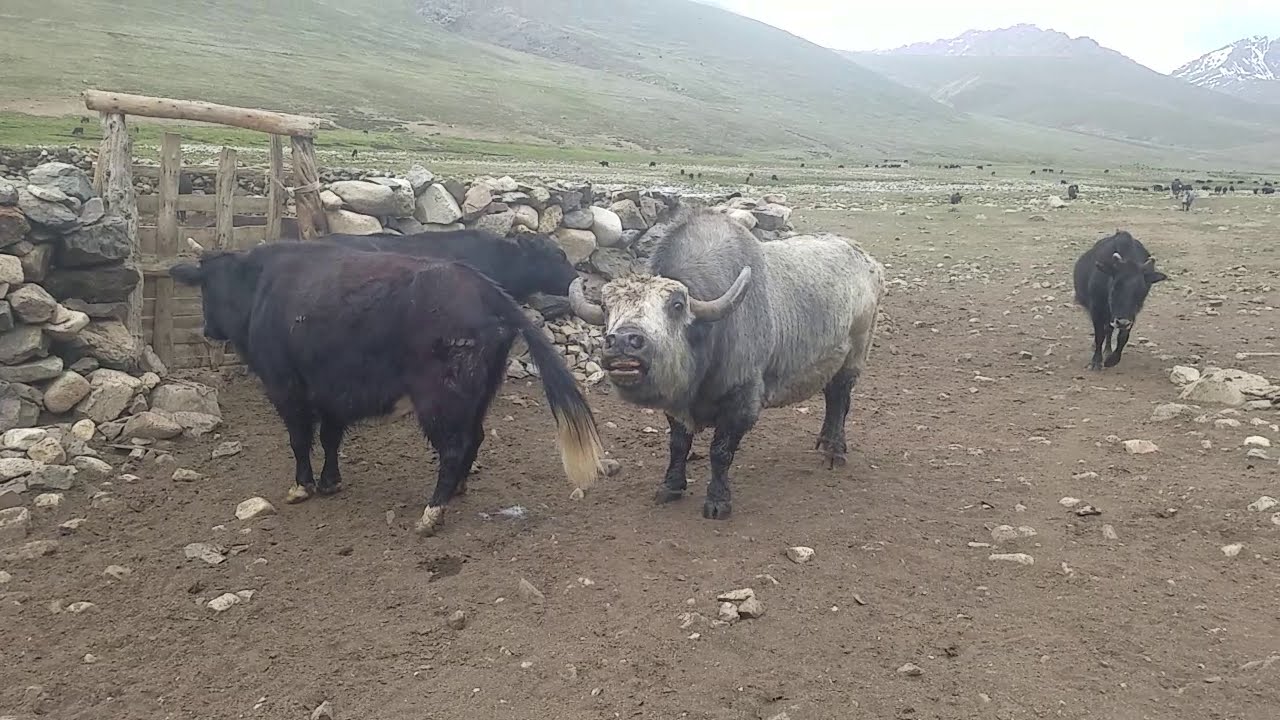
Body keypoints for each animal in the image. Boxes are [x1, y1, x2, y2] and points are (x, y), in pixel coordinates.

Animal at [168, 242, 604, 535]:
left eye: (206, 287)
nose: (207, 329)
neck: (260, 289)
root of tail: (488, 290)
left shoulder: (285, 387)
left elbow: (299, 439)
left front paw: (301, 486)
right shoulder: (332, 394)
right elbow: (329, 438)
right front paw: (330, 482)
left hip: (438, 398)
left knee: (453, 448)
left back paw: (431, 513)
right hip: (476, 394)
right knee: (474, 438)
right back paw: (457, 490)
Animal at [568, 209, 885, 520]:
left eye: (677, 306)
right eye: (606, 308)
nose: (623, 341)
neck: (710, 337)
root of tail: (867, 261)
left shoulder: (742, 402)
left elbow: (720, 452)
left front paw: (718, 501)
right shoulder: (676, 405)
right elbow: (678, 444)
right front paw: (671, 486)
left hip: (855, 354)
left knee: (840, 399)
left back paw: (835, 451)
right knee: (831, 397)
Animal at [1072, 230, 1167, 371]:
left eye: (1142, 290)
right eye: (1115, 286)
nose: (1122, 322)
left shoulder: (1132, 314)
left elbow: (1122, 336)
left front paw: (1112, 360)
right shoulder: (1096, 309)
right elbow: (1099, 335)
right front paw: (1096, 362)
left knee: (1109, 330)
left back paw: (1108, 351)